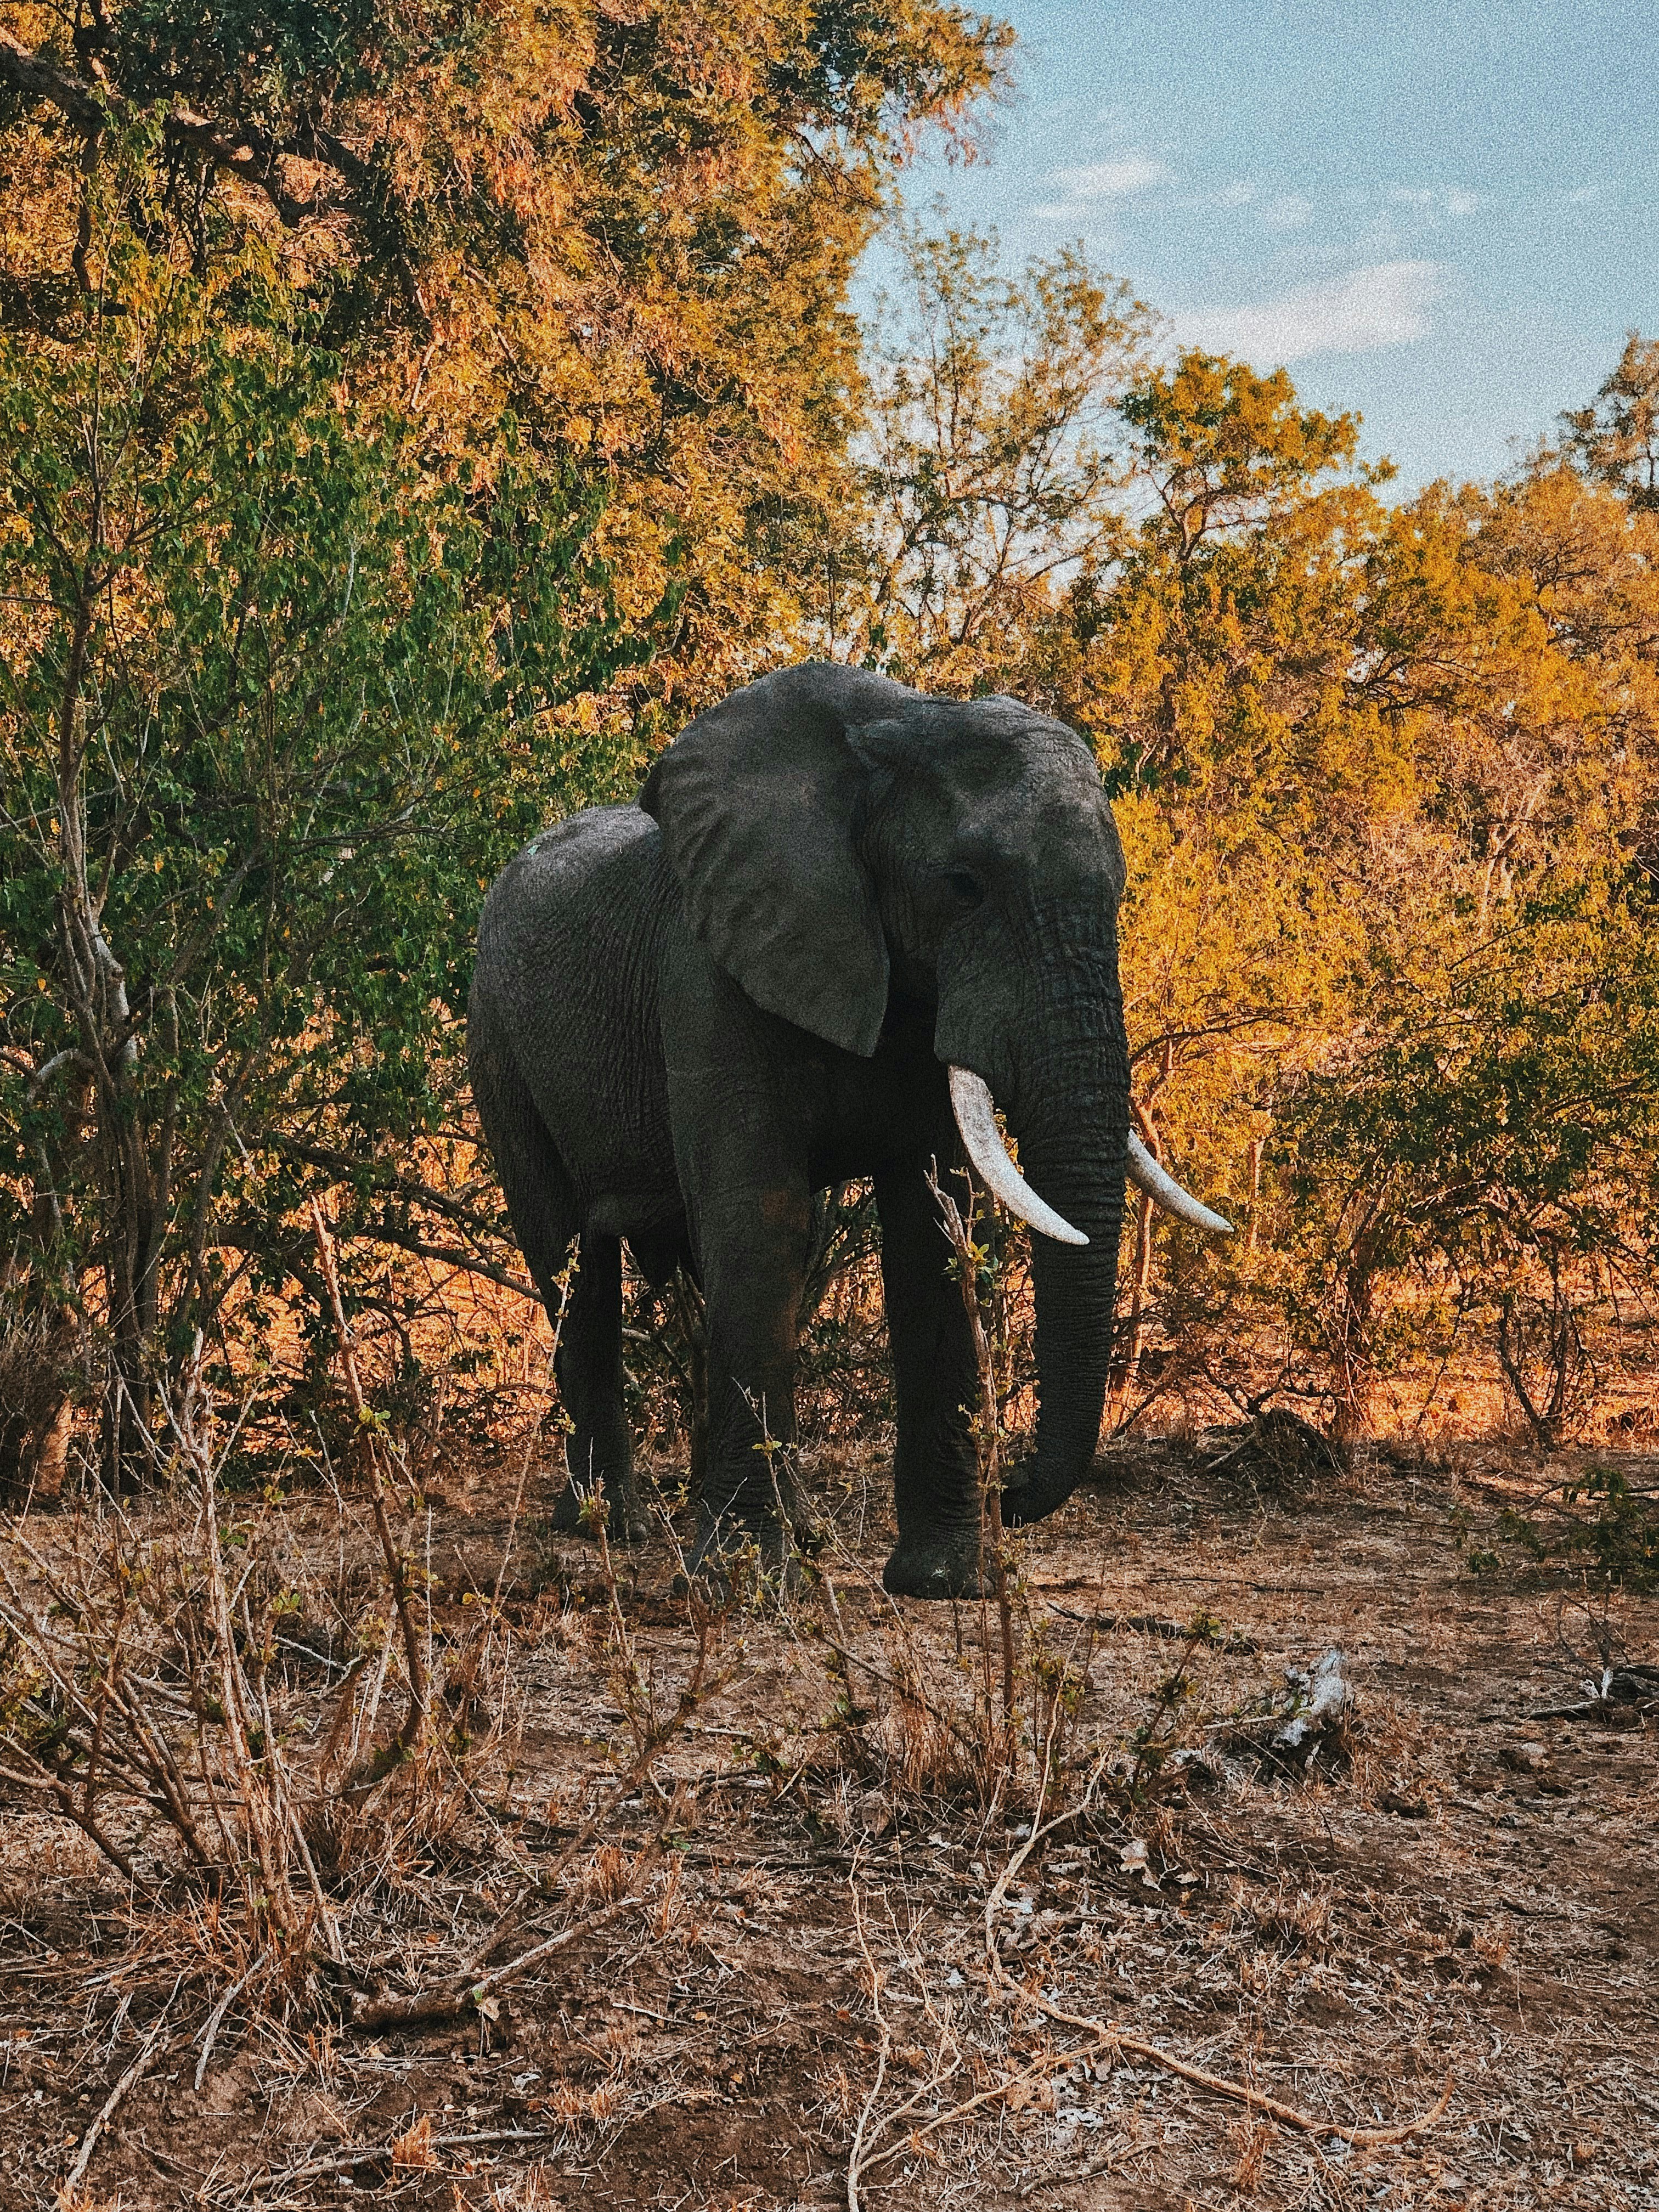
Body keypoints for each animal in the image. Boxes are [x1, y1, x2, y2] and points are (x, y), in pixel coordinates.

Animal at [467, 663, 1228, 1599]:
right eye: (964, 885)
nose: (1015, 1492)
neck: (896, 730)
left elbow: (931, 1234)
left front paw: (941, 1581)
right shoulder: (708, 973)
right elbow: (759, 1227)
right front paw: (741, 1585)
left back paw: (801, 1531)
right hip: (497, 1043)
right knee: (570, 1262)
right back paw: (608, 1526)